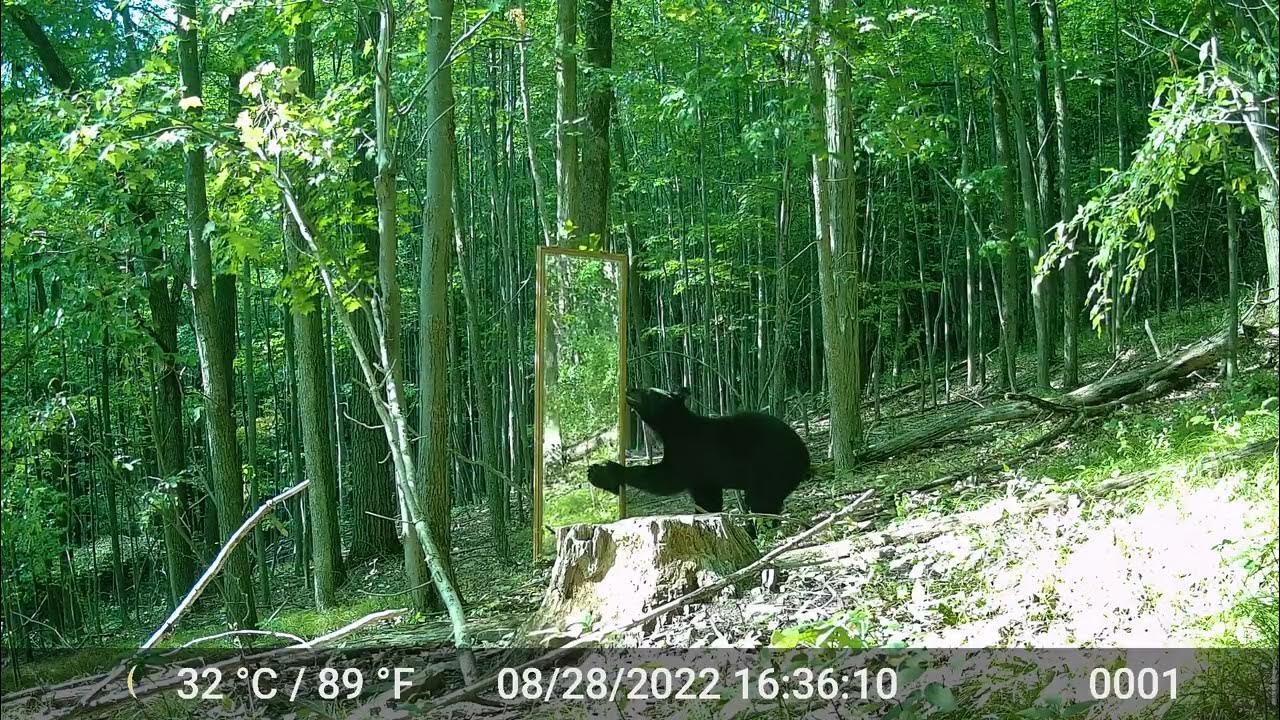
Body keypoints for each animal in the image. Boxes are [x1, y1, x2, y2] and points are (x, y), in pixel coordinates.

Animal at [587, 387, 811, 521]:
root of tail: (805, 457)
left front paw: (603, 471)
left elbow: (665, 479)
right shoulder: (705, 478)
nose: (630, 388)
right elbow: (707, 499)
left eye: (649, 391)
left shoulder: (691, 453)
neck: (675, 427)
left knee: (761, 502)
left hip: (772, 466)